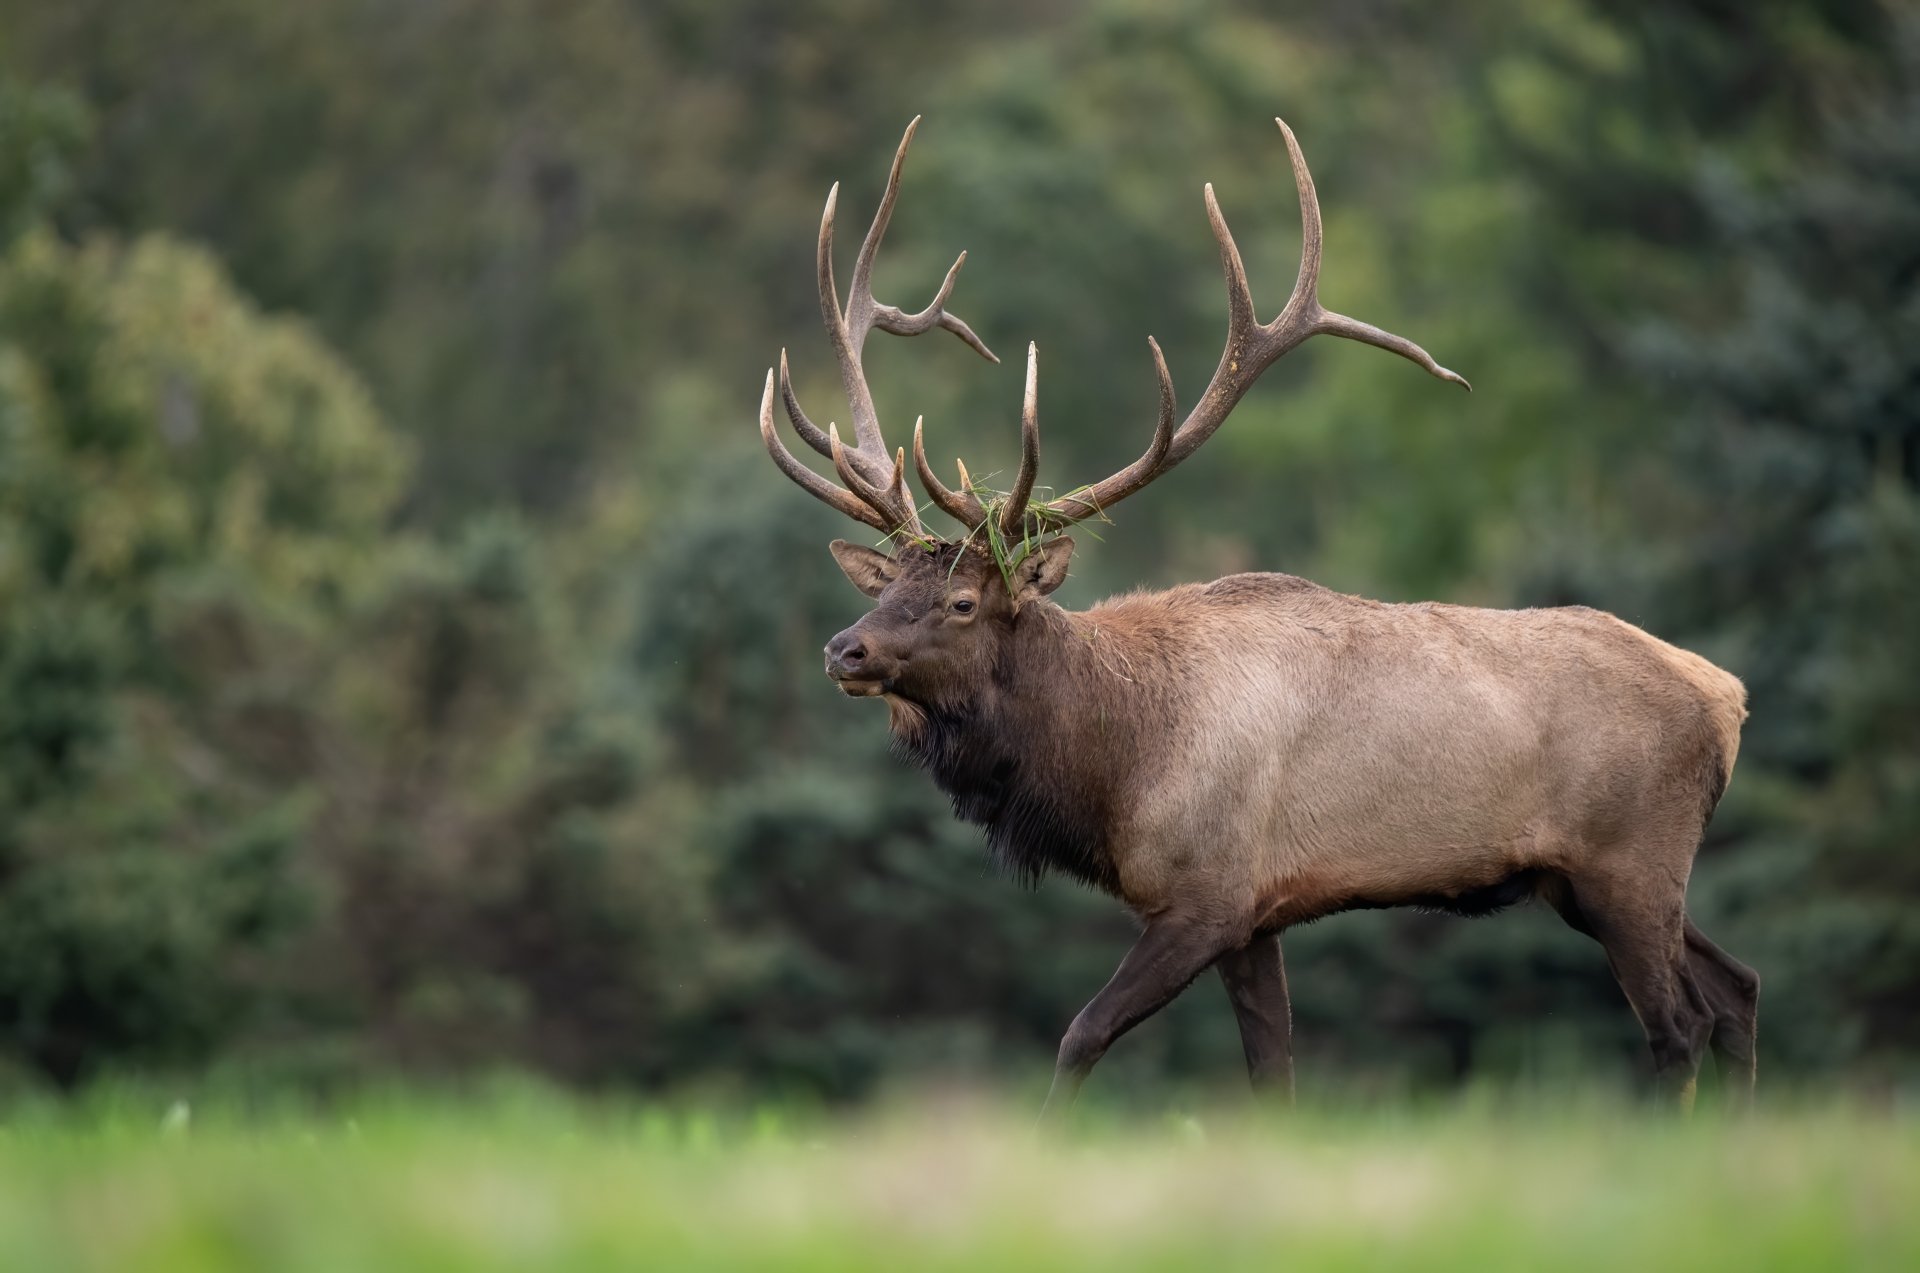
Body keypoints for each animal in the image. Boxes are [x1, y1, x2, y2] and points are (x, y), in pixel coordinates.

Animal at [755, 117, 1759, 1120]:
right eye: (882, 589)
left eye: (963, 602)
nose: (845, 649)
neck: (1115, 762)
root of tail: (1728, 697)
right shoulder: (1256, 917)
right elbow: (1272, 1071)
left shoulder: (1208, 893)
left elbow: (1080, 1034)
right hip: (1589, 880)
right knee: (1737, 987)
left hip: (1629, 861)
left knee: (1678, 1025)